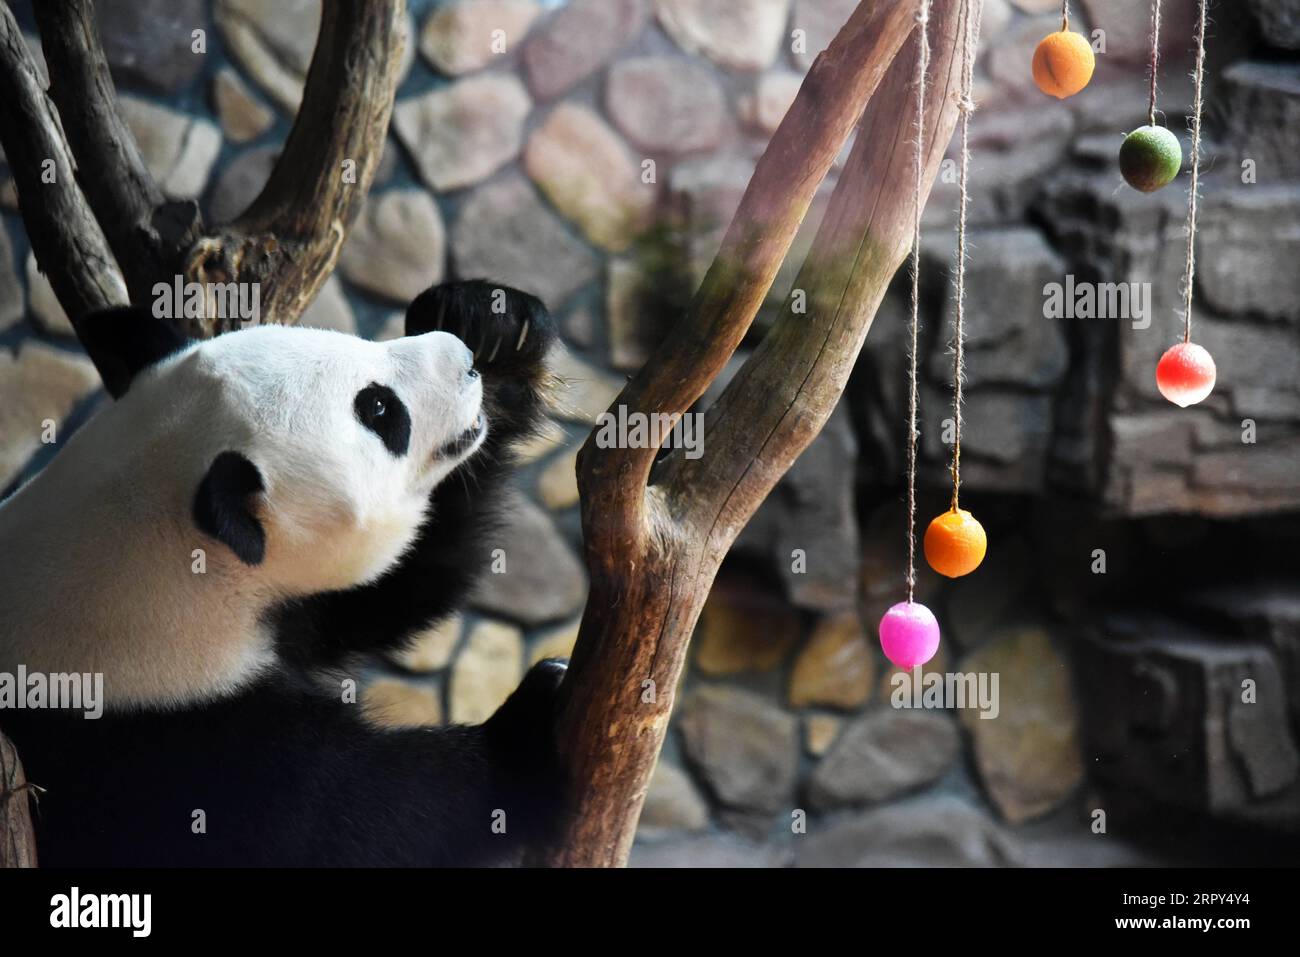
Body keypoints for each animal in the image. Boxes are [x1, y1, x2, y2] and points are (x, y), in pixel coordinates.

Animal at [0, 280, 572, 866]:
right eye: (378, 408)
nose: (464, 362)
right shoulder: (160, 734)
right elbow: (350, 820)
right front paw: (527, 731)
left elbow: (393, 587)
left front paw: (490, 324)